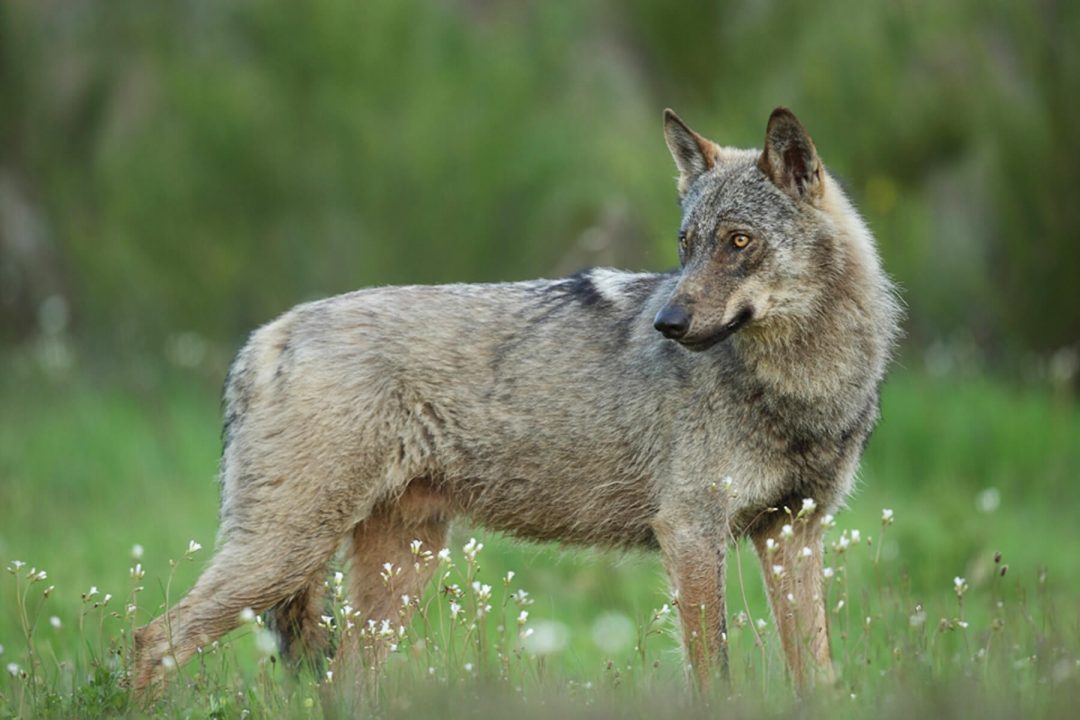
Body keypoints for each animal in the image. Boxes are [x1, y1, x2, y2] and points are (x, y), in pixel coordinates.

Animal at [132, 107, 900, 694]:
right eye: (685, 245)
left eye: (739, 242)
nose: (668, 324)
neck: (801, 388)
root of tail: (267, 333)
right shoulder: (689, 534)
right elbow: (715, 675)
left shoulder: (794, 534)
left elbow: (817, 673)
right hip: (286, 557)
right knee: (150, 641)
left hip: (393, 570)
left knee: (338, 681)